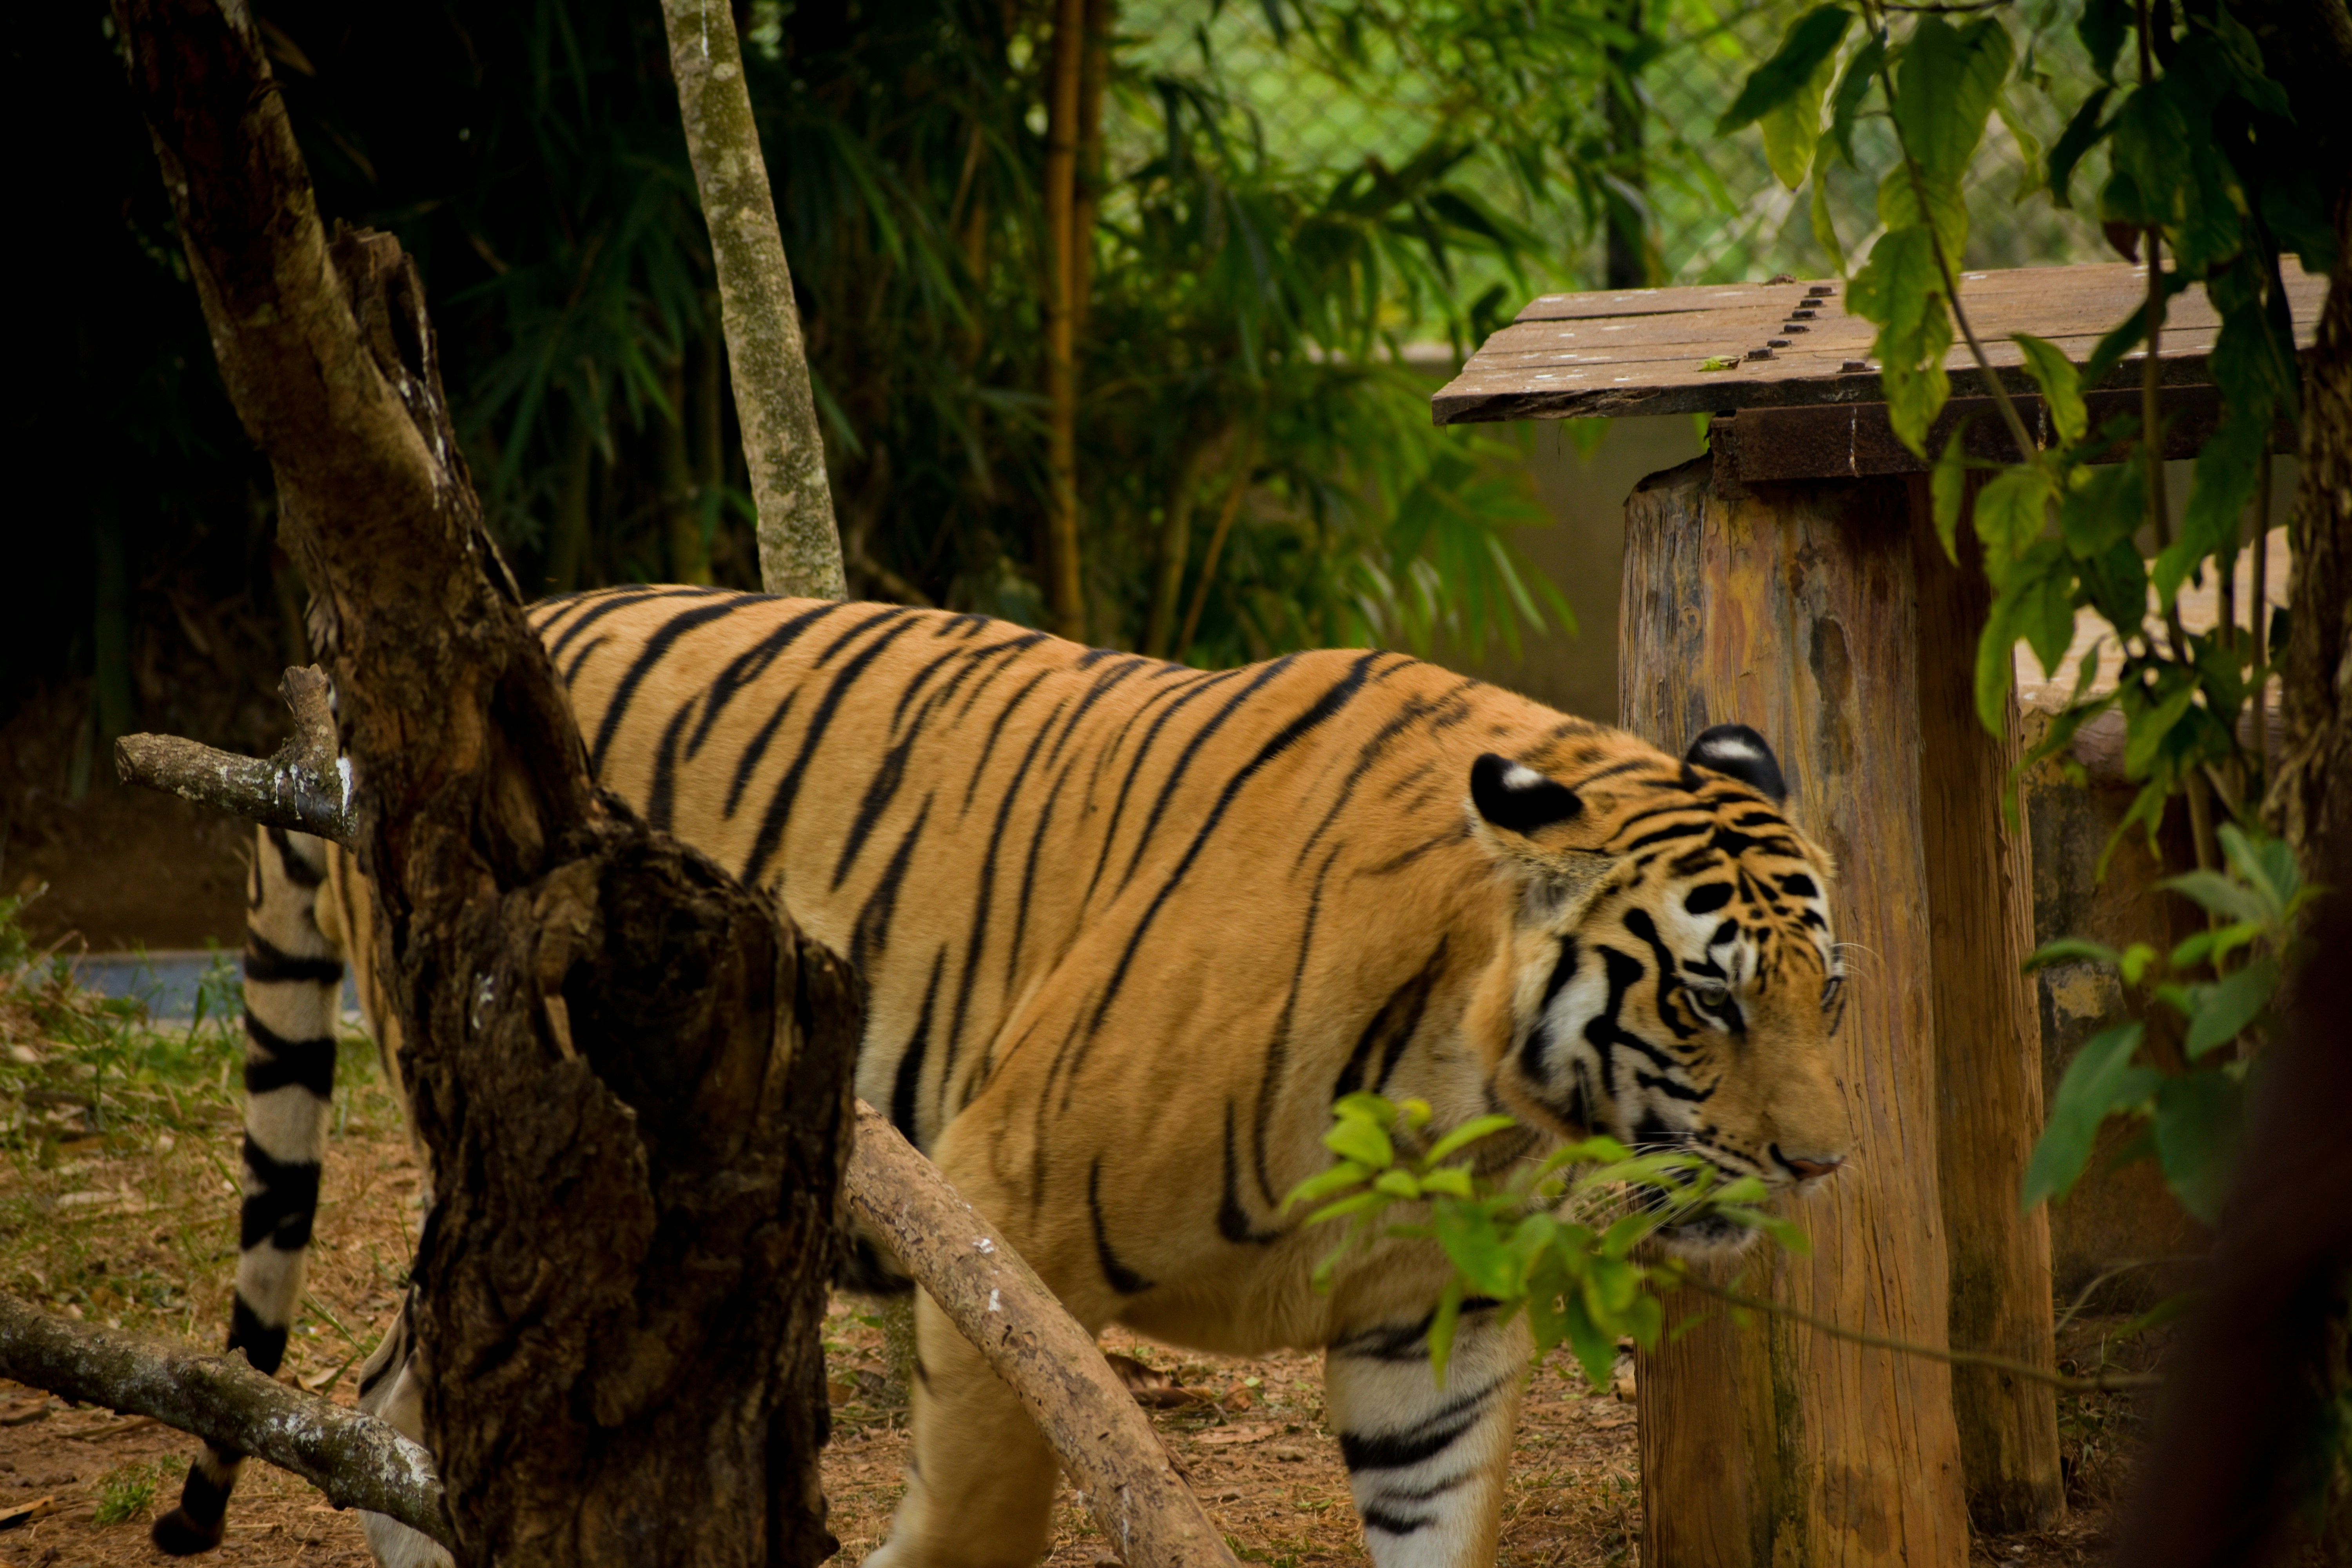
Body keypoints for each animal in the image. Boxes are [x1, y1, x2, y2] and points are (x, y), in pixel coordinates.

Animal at [154, 587, 1852, 1568]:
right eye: (1709, 1001)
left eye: (1829, 999)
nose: (1823, 1170)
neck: (1479, 1098)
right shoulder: (1001, 1216)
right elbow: (979, 1509)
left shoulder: (1429, 1332)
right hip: (565, 1135)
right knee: (417, 1391)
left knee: (391, 1392)